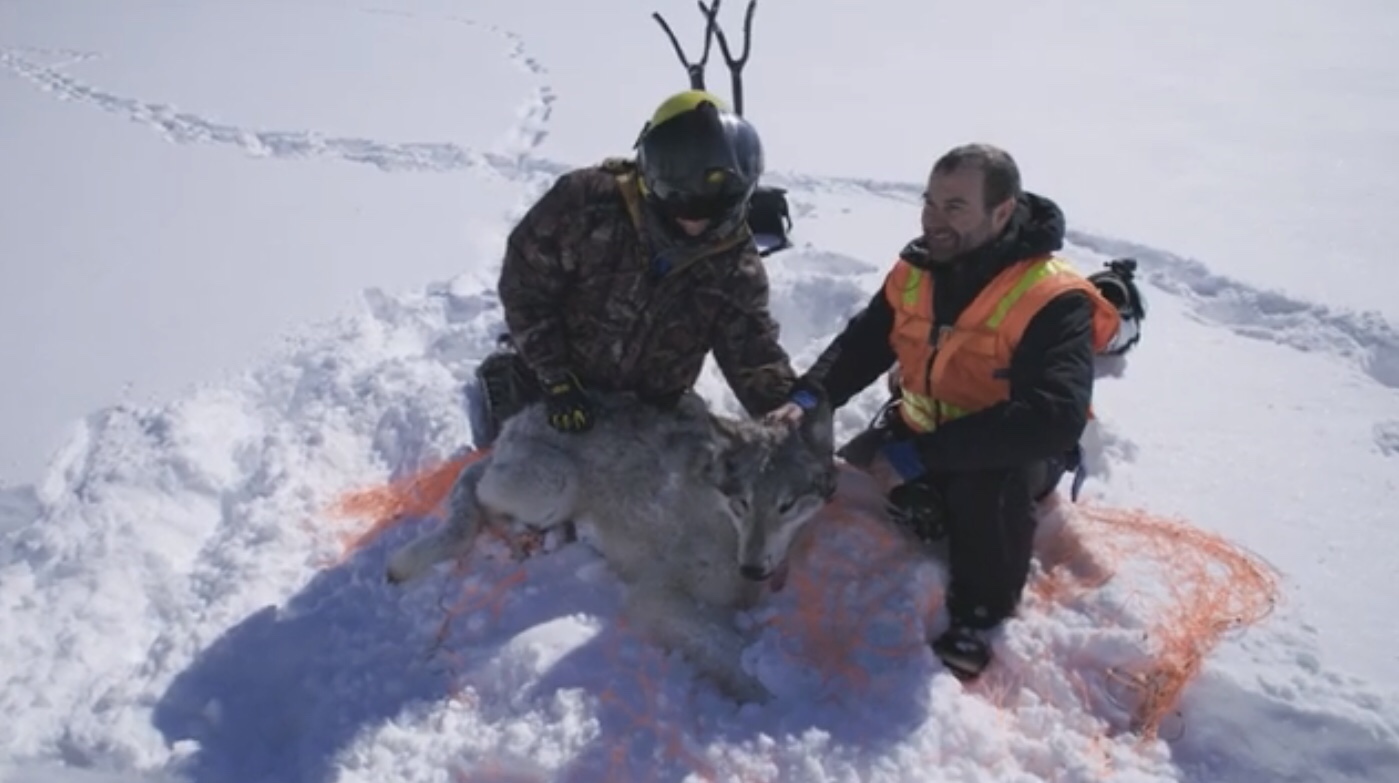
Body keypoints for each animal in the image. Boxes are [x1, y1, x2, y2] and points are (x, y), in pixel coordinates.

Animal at [385, 389, 837, 702]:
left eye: (786, 506)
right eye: (741, 502)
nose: (752, 569)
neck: (726, 527)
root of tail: (517, 420)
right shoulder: (655, 595)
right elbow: (724, 645)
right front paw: (770, 696)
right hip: (556, 484)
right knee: (480, 496)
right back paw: (530, 537)